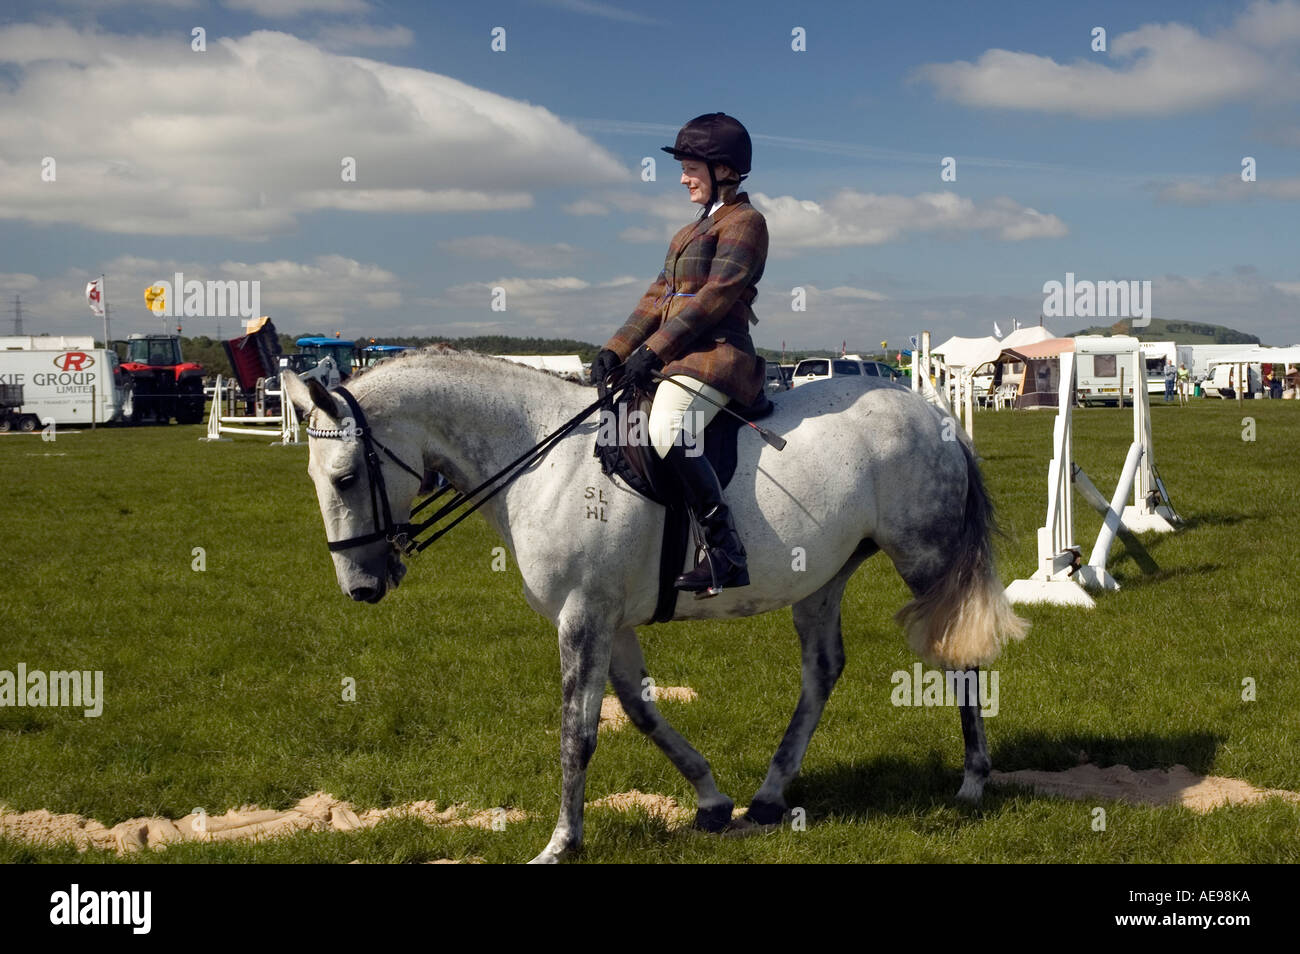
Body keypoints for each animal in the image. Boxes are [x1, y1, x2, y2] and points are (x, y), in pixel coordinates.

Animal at [280, 352, 1027, 864]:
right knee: (822, 670)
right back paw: (768, 796)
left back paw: (972, 781)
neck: (543, 464)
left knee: (958, 658)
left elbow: (576, 733)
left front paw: (562, 843)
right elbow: (639, 713)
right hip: (822, 578)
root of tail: (936, 415)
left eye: (344, 478)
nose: (361, 587)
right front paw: (711, 800)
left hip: (925, 559)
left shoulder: (582, 617)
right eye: (314, 476)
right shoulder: (607, 621)